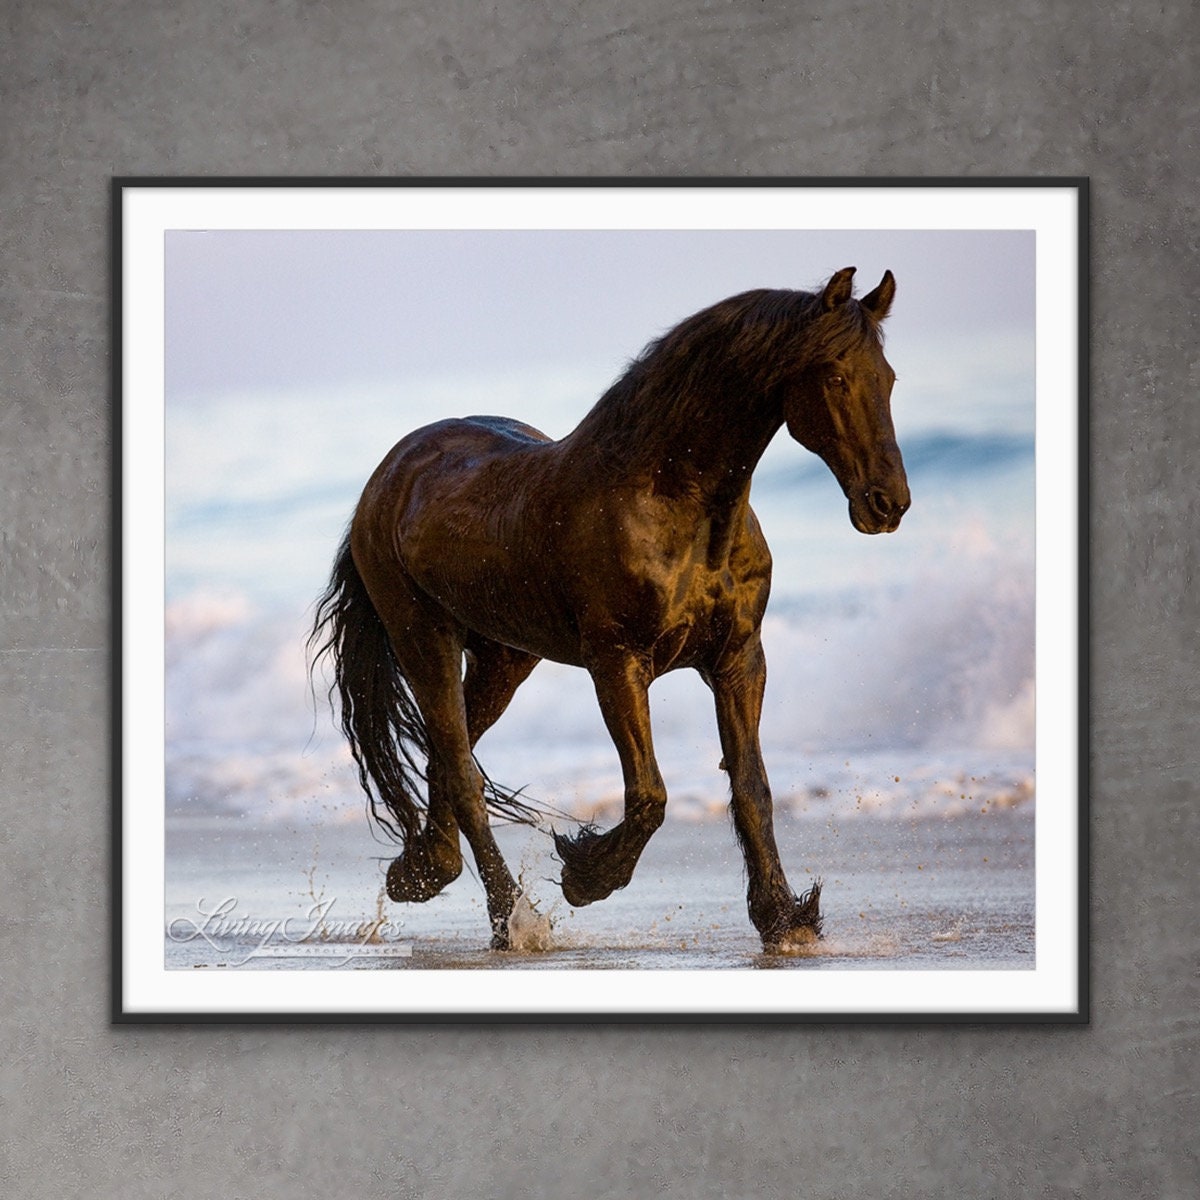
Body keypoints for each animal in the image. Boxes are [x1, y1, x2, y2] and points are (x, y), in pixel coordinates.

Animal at [310, 266, 909, 952]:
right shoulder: (618, 663)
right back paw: (512, 918)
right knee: (461, 770)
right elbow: (650, 795)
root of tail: (388, 476)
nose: (888, 503)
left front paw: (783, 919)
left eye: (888, 378)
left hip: (505, 659)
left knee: (445, 757)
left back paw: (423, 871)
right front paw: (586, 876)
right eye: (836, 376)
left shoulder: (738, 659)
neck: (671, 502)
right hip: (422, 637)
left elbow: (751, 787)